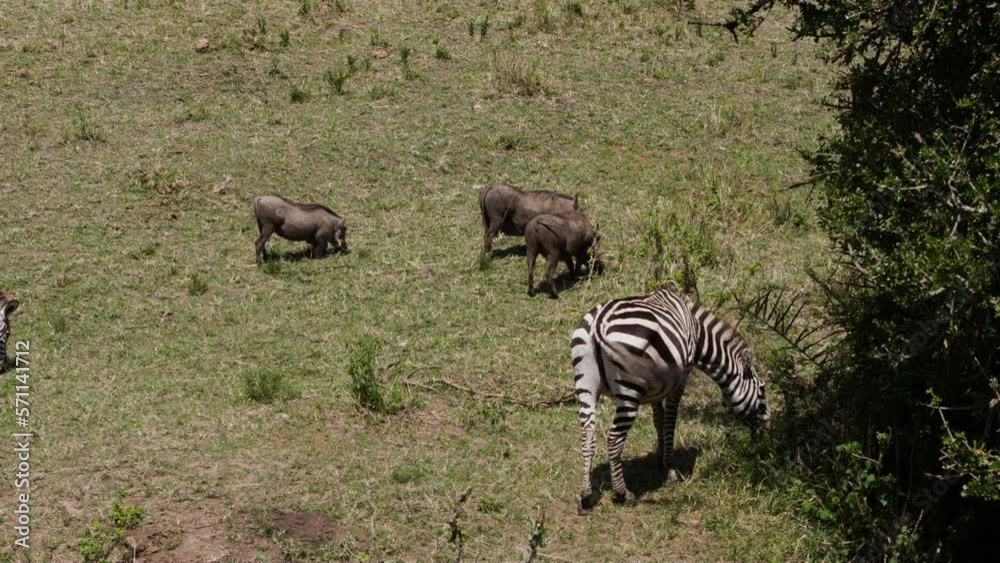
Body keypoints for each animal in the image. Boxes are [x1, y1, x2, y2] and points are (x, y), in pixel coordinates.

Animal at [571, 286, 769, 512]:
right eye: (762, 391)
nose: (767, 430)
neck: (698, 333)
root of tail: (598, 323)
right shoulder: (681, 378)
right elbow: (670, 420)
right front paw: (670, 470)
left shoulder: (655, 386)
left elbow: (659, 419)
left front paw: (660, 459)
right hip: (629, 390)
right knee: (614, 438)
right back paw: (623, 494)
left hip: (585, 384)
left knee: (587, 434)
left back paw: (586, 496)